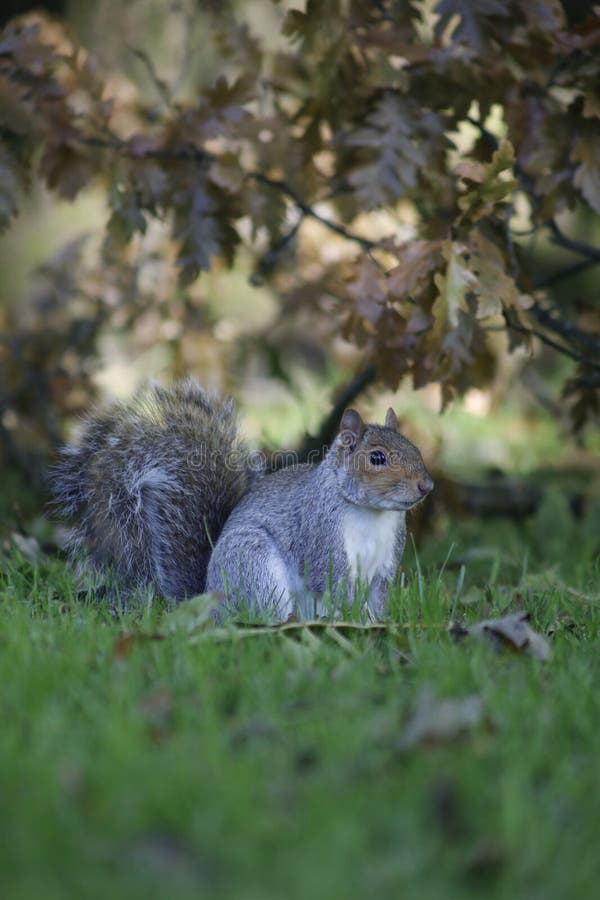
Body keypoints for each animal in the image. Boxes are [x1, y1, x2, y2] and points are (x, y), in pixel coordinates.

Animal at [53, 378, 433, 620]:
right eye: (377, 458)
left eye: (415, 448)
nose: (426, 486)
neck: (370, 514)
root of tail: (210, 603)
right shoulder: (320, 537)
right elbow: (332, 582)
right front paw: (353, 619)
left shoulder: (385, 564)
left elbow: (377, 600)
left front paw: (373, 627)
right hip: (252, 564)